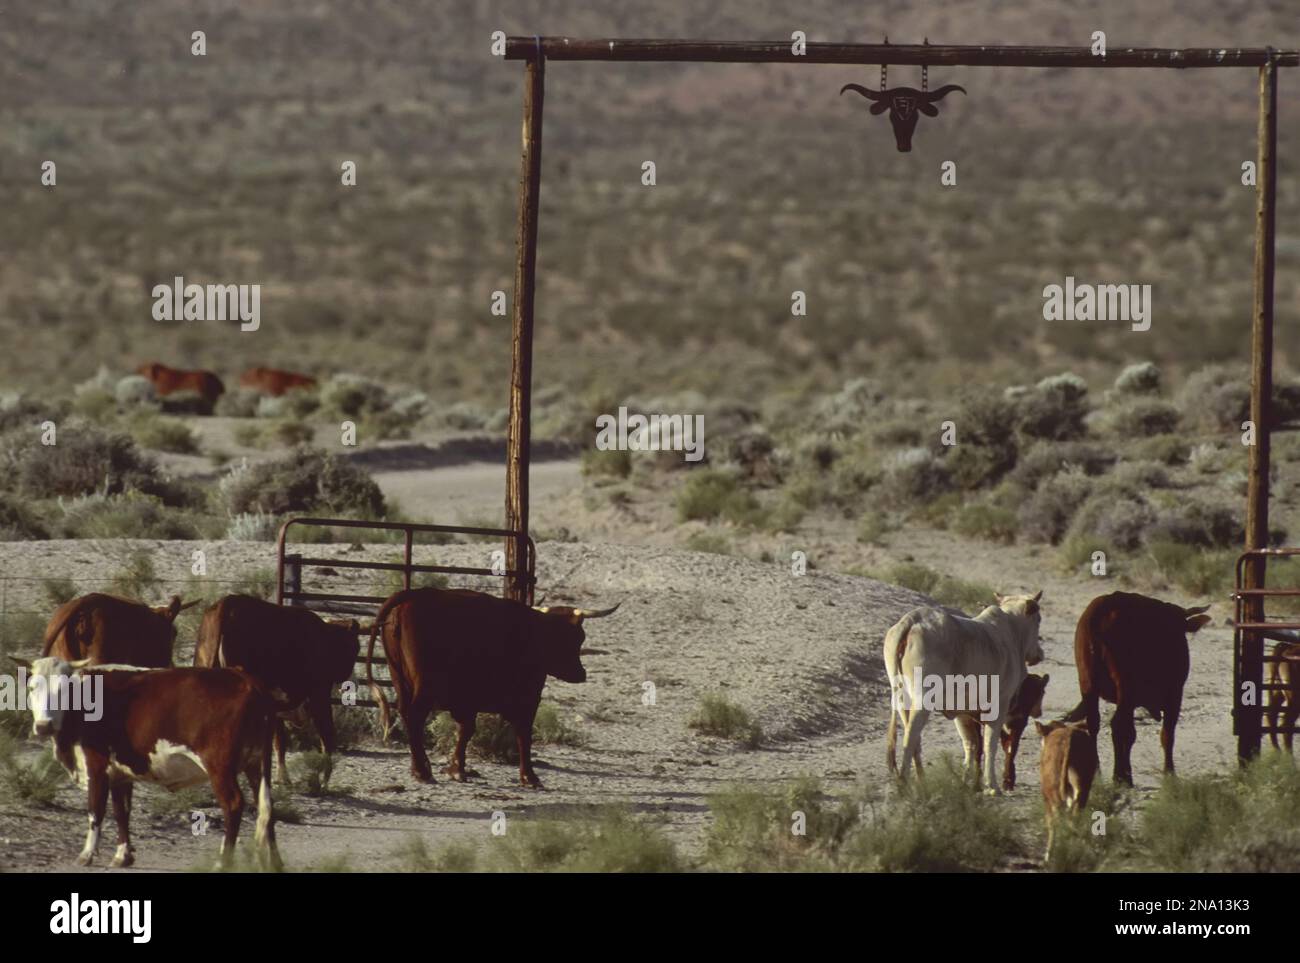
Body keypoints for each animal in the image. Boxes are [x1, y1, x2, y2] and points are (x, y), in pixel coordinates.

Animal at [14, 656, 281, 871]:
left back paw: (222, 863)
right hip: (257, 765)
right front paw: (122, 855)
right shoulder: (119, 773)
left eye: (63, 689)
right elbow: (121, 812)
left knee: (234, 805)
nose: (43, 726)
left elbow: (95, 811)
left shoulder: (96, 767)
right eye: (32, 687)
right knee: (266, 807)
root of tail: (244, 677)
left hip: (220, 767)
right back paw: (274, 862)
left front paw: (87, 854)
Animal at [194, 594, 360, 786]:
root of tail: (227, 603)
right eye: (355, 648)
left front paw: (282, 777)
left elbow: (279, 740)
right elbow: (327, 735)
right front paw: (324, 779)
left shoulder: (276, 706)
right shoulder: (319, 696)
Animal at [365, 587, 618, 788]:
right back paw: (421, 771)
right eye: (572, 638)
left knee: (406, 714)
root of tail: (413, 594)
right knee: (415, 716)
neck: (532, 634)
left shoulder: (467, 702)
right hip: (425, 686)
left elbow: (465, 730)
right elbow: (523, 735)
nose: (580, 674)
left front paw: (457, 769)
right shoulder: (527, 699)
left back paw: (418, 767)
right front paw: (529, 777)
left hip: (400, 679)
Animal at [884, 591, 1044, 793]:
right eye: (1038, 619)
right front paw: (992, 786)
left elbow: (971, 744)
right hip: (922, 700)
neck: (1012, 635)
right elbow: (989, 745)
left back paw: (921, 781)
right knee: (911, 736)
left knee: (914, 738)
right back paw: (905, 781)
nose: (1039, 653)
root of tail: (912, 620)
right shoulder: (998, 707)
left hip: (902, 698)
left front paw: (965, 782)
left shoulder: (963, 712)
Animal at [1065, 592, 1211, 784]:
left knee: (1095, 724)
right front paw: (1169, 773)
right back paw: (1122, 776)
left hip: (1088, 683)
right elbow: (1167, 734)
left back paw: (1100, 774)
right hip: (1125, 686)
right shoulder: (1174, 694)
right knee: (1118, 725)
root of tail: (1103, 608)